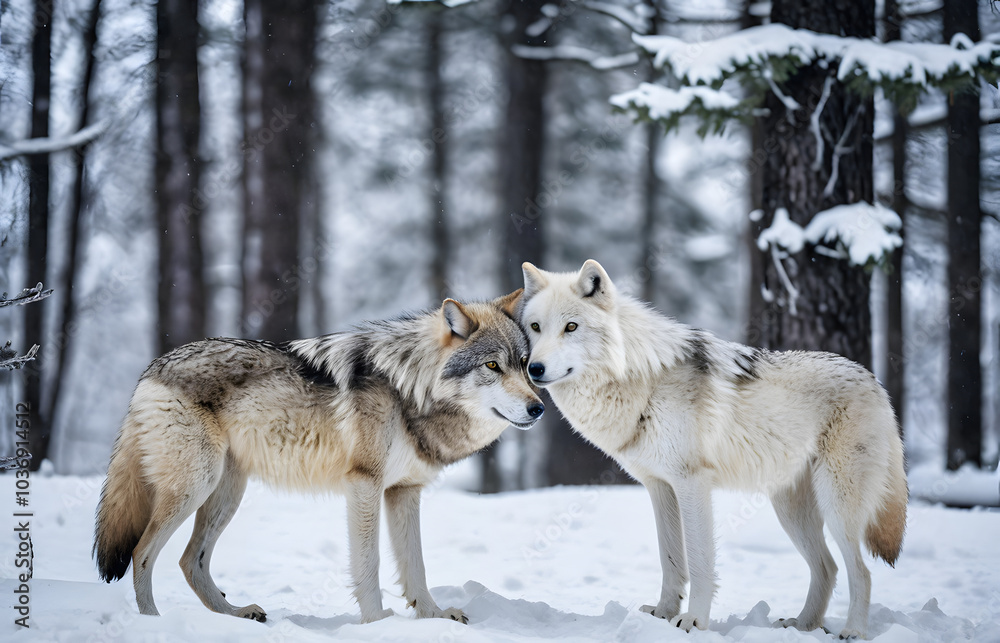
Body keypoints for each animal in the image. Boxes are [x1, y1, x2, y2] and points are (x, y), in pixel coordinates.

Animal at [94, 291, 542, 624]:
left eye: (523, 364)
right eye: (492, 365)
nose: (538, 408)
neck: (408, 389)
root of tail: (151, 369)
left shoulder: (405, 491)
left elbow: (415, 566)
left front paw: (433, 617)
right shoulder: (364, 484)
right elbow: (369, 563)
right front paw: (377, 624)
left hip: (226, 494)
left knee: (191, 561)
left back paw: (235, 614)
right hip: (196, 486)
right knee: (141, 553)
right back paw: (153, 623)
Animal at [518, 260, 906, 640]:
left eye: (571, 327)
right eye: (535, 327)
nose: (534, 368)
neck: (642, 379)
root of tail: (875, 382)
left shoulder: (692, 483)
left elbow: (699, 559)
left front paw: (693, 622)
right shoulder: (660, 487)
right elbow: (670, 559)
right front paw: (663, 614)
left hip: (836, 505)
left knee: (861, 572)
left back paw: (852, 631)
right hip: (790, 510)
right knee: (827, 567)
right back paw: (802, 626)